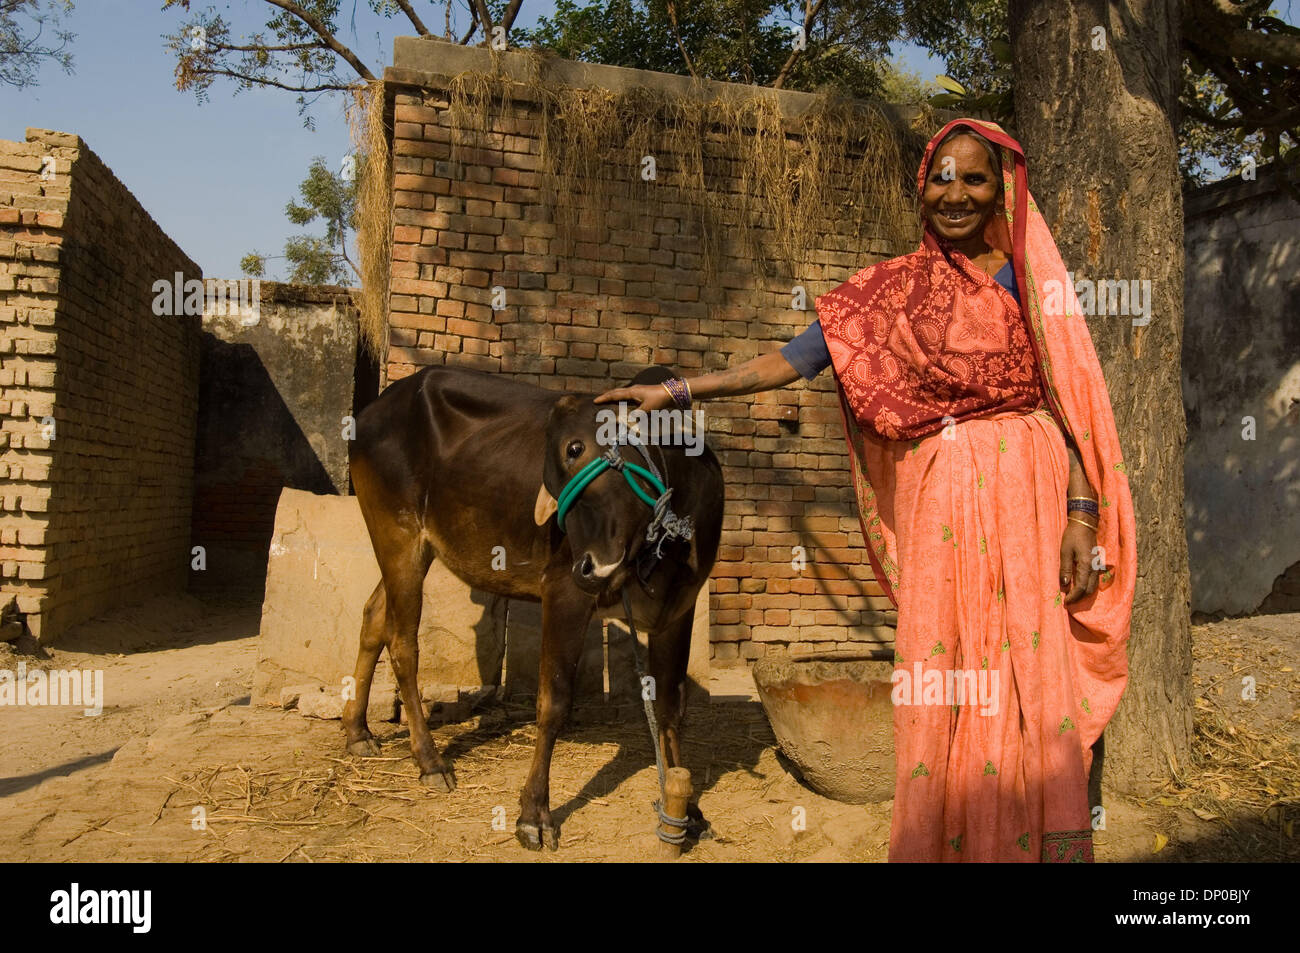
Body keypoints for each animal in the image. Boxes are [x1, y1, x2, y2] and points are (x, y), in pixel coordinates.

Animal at [341, 363, 724, 850]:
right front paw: (534, 815)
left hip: (415, 546)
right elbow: (554, 702)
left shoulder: (679, 609)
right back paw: (429, 761)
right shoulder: (563, 592)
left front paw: (688, 809)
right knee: (403, 643)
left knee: (374, 617)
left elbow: (672, 707)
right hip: (397, 532)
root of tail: (373, 410)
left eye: (575, 448)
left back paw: (358, 731)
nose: (590, 566)